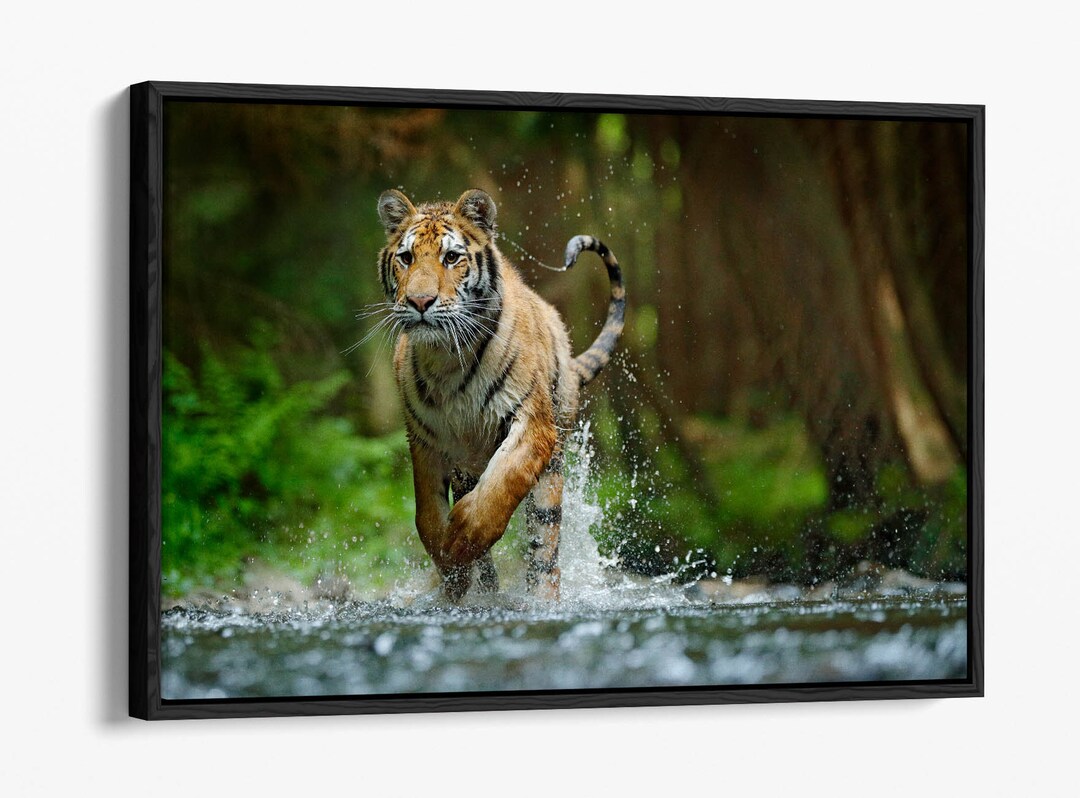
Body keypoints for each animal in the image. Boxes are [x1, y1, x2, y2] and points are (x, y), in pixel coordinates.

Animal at [374, 188, 625, 601]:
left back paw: (541, 598)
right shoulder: (424, 439)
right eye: (406, 258)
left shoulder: (533, 425)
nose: (420, 302)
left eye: (451, 257)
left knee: (545, 551)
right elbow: (427, 516)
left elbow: (499, 489)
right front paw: (451, 567)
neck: (446, 358)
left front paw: (461, 537)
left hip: (551, 473)